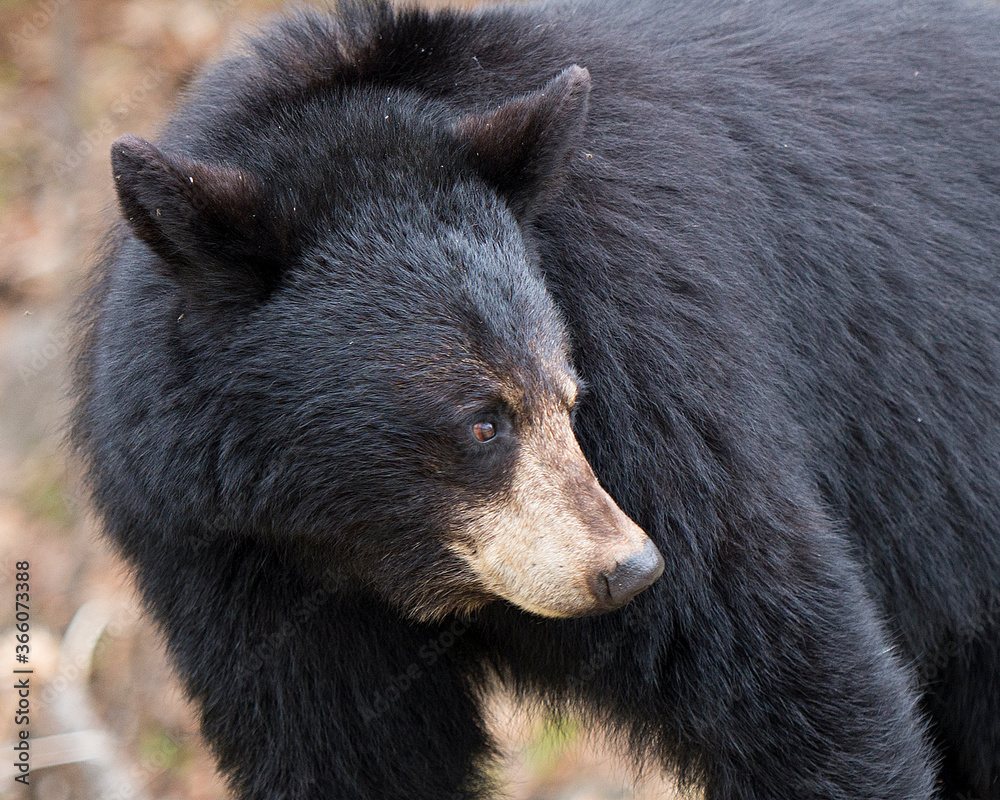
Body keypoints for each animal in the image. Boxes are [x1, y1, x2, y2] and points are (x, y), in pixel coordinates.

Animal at [70, 0, 1000, 797]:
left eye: (568, 396)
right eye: (482, 422)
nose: (627, 567)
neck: (362, 542)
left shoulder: (655, 372)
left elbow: (787, 664)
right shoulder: (232, 558)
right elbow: (340, 751)